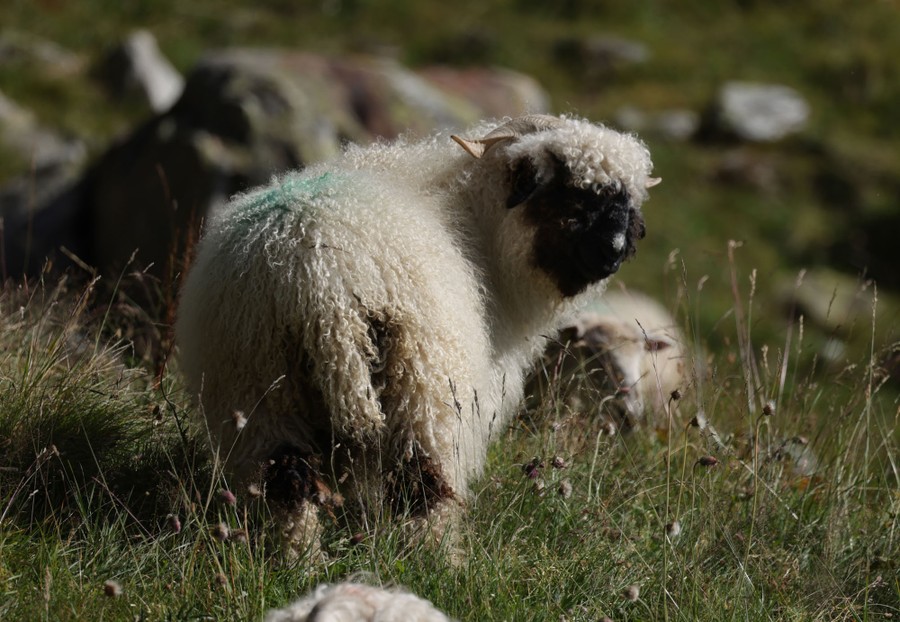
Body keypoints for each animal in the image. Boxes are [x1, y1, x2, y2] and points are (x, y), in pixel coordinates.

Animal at [174, 114, 658, 551]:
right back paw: (437, 561)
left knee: (285, 484)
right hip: (425, 390)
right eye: (571, 194)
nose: (615, 250)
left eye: (626, 201)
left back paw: (299, 559)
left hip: (257, 386)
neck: (479, 230)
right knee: (423, 484)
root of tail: (319, 275)